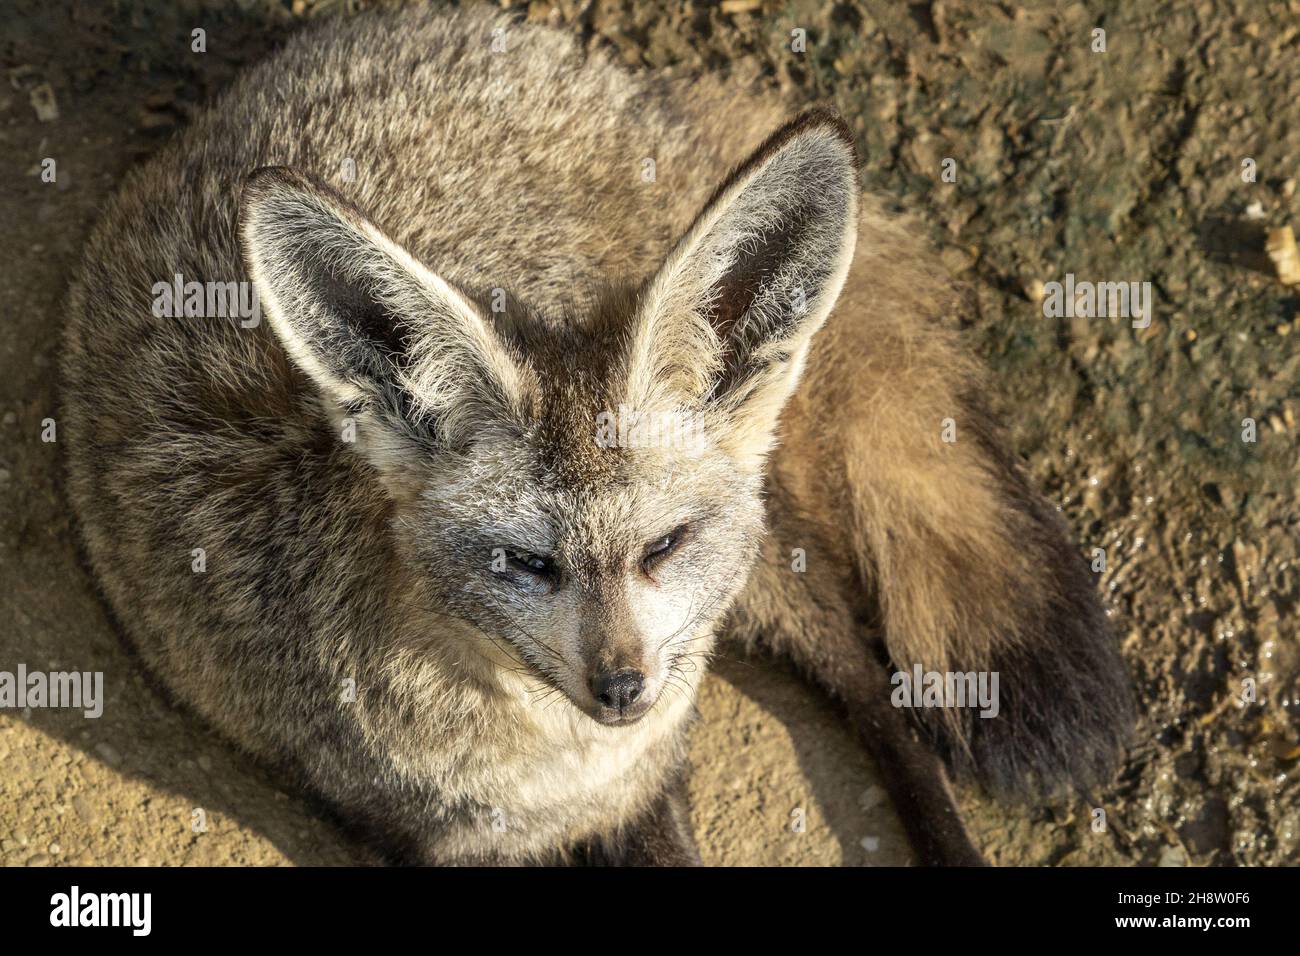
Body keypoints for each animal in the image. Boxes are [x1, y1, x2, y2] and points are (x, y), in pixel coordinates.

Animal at [60, 4, 1132, 866]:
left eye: (663, 545)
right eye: (526, 563)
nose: (623, 687)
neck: (560, 775)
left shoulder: (650, 776)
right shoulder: (439, 843)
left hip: (764, 583)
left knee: (870, 683)